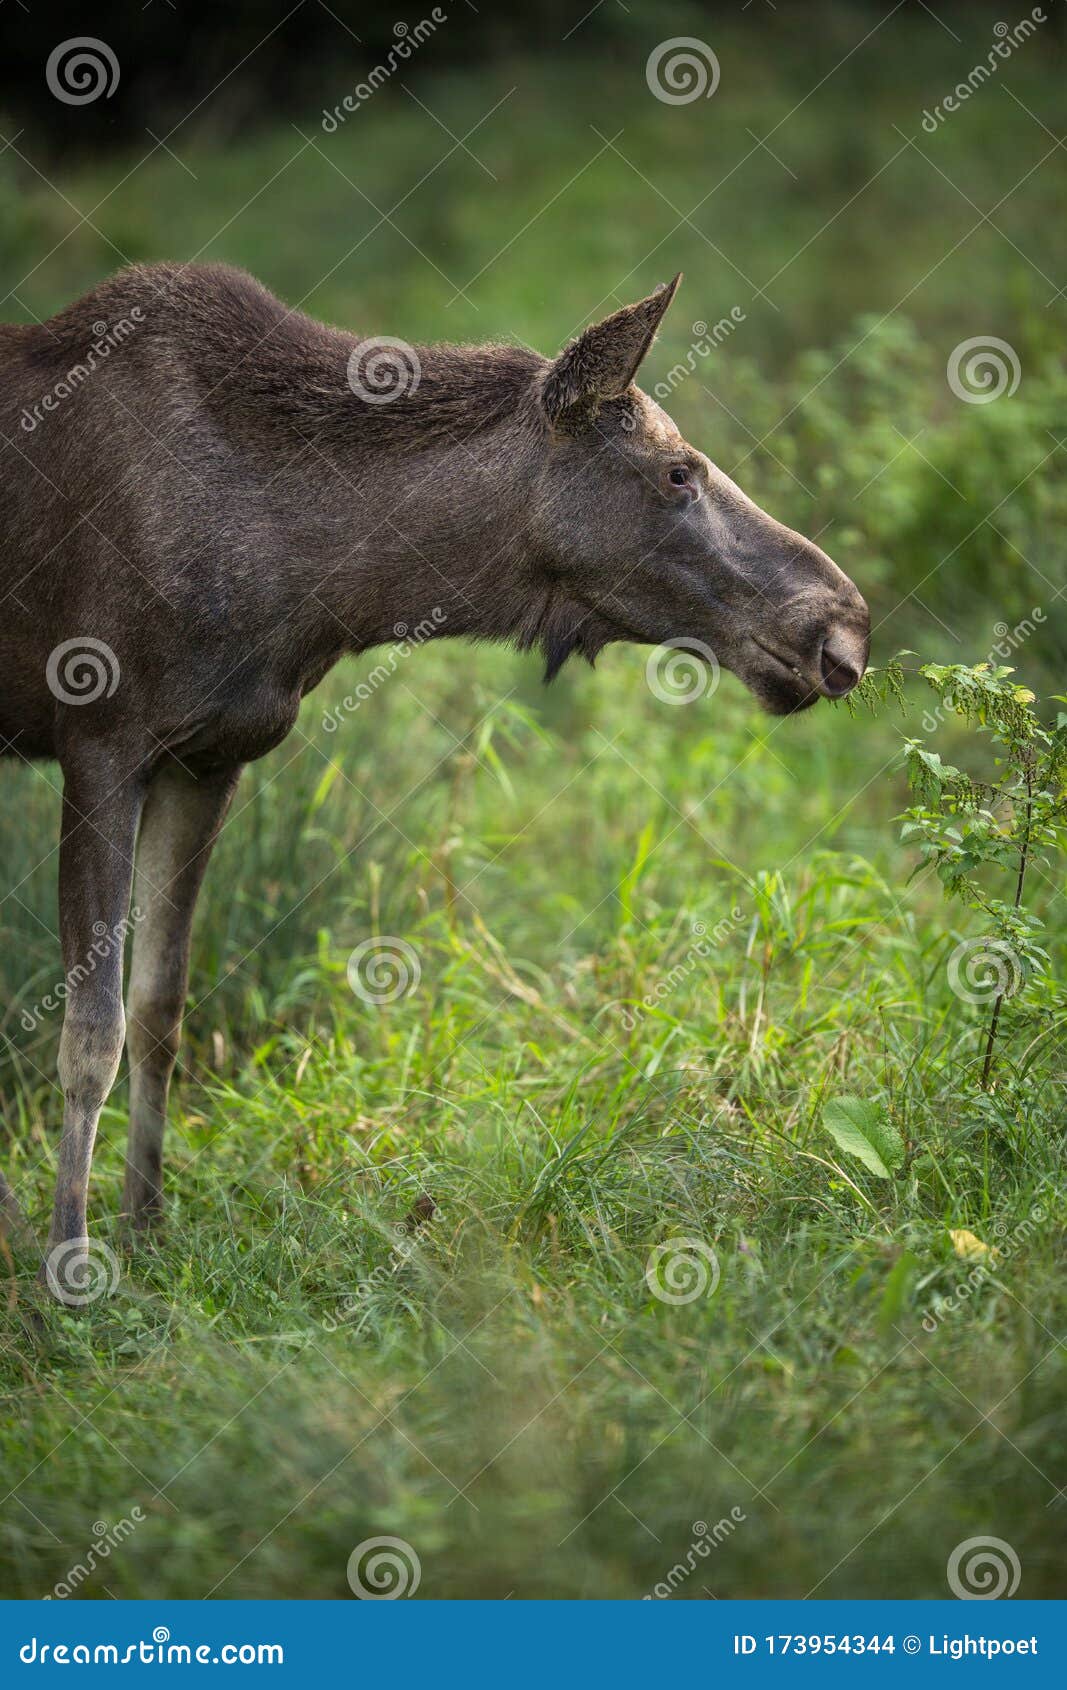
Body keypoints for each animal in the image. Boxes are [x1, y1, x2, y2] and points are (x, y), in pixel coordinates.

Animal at [0, 263, 869, 1300]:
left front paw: (147, 1231)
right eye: (676, 472)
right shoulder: (98, 741)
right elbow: (89, 1036)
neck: (317, 586)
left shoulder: (209, 759)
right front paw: (67, 1275)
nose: (843, 623)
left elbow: (160, 1011)